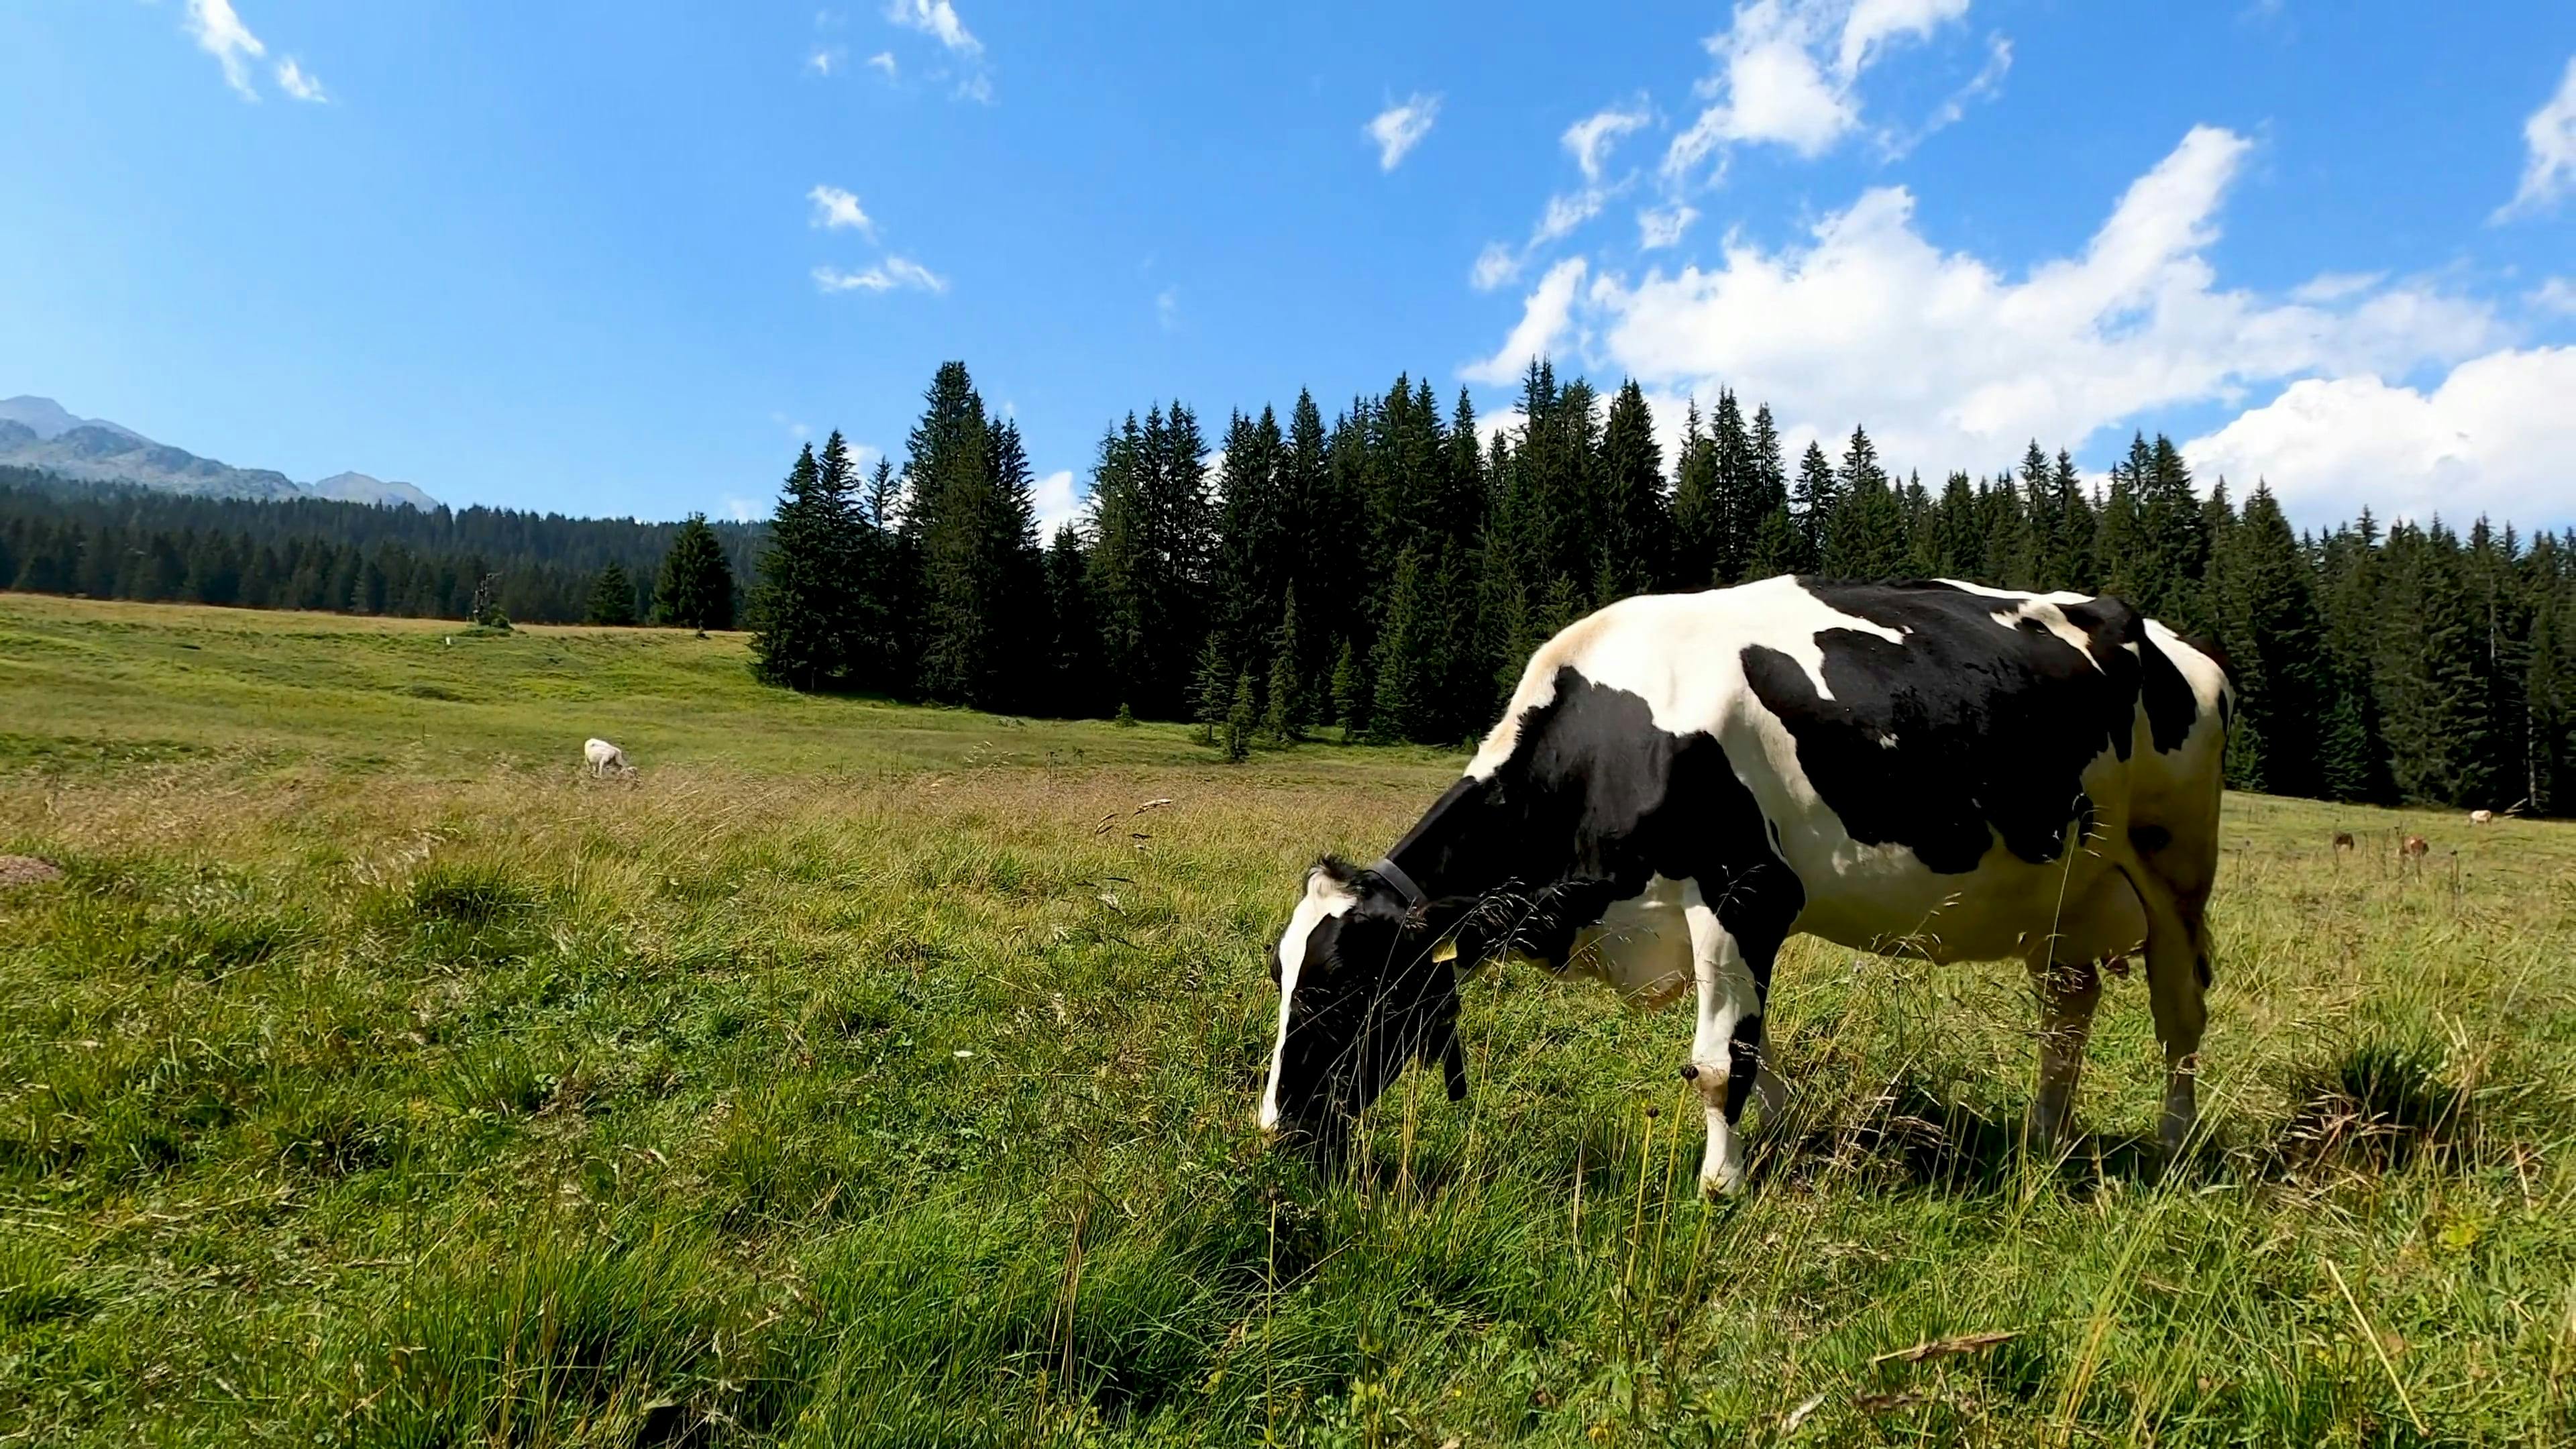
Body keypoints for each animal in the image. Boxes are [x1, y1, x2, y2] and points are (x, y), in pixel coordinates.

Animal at [1257, 576, 2233, 1196]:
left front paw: (1720, 1182)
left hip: (2175, 860)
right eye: (1281, 976)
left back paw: (2176, 1145)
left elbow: (1723, 1058)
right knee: (2068, 1005)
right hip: (2064, 891)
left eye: (1341, 989)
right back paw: (2044, 1135)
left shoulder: (1748, 890)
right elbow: (1744, 1055)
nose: (1274, 1128)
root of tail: (2159, 631)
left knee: (2180, 1012)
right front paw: (1790, 1130)